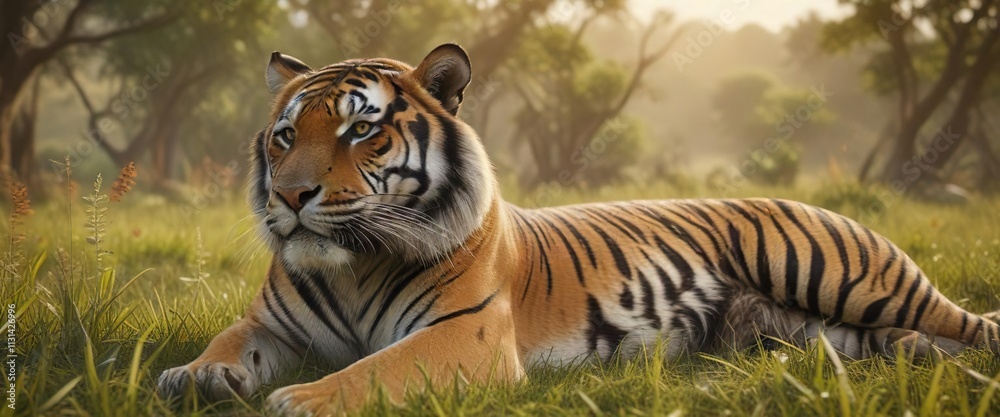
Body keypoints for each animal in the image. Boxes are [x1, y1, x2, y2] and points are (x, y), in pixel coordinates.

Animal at [157, 43, 1000, 416]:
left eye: (362, 130)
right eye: (284, 137)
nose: (291, 195)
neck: (353, 262)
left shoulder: (465, 334)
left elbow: (376, 368)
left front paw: (300, 399)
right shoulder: (275, 323)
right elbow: (230, 341)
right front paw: (194, 375)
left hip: (847, 274)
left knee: (965, 320)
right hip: (817, 332)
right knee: (903, 342)